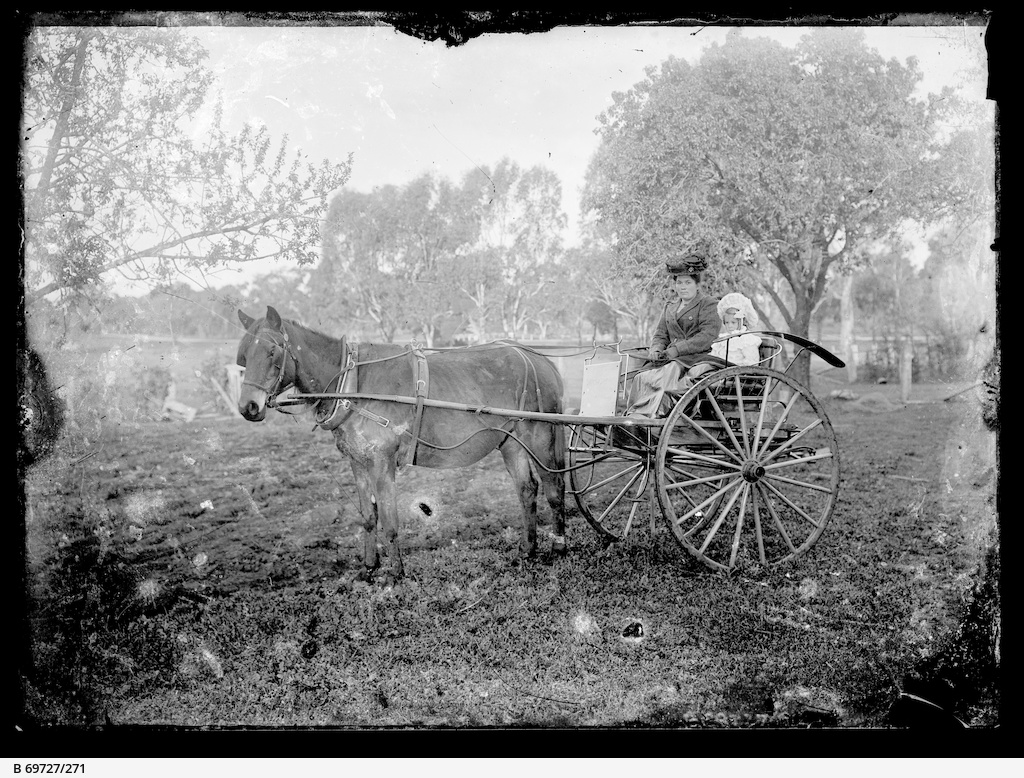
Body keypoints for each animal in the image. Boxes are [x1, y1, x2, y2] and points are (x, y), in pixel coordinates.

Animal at [235, 306, 567, 584]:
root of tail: (538, 359)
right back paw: (527, 551)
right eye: (243, 357)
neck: (353, 383)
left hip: (538, 434)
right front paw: (369, 568)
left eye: (272, 351)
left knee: (554, 488)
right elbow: (369, 517)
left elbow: (390, 519)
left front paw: (396, 574)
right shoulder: (357, 462)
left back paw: (560, 547)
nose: (247, 407)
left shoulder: (381, 463)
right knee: (527, 490)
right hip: (510, 441)